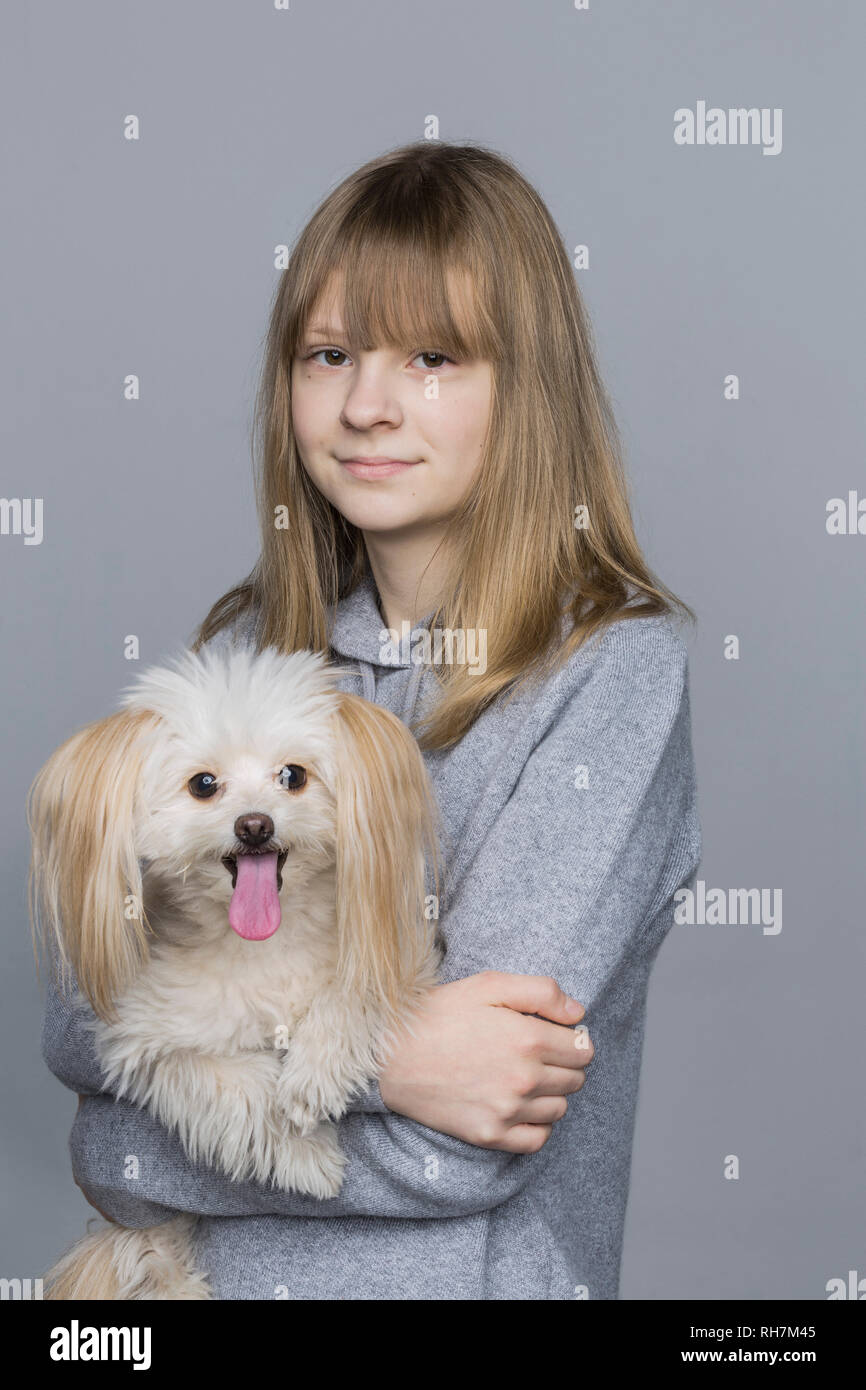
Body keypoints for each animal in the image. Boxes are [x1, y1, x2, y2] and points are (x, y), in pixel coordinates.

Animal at [28, 644, 439, 1295]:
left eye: (292, 776)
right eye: (204, 784)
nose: (255, 825)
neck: (262, 945)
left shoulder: (406, 960)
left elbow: (352, 995)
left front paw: (314, 1072)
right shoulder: (141, 1040)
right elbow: (231, 1081)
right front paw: (307, 1155)